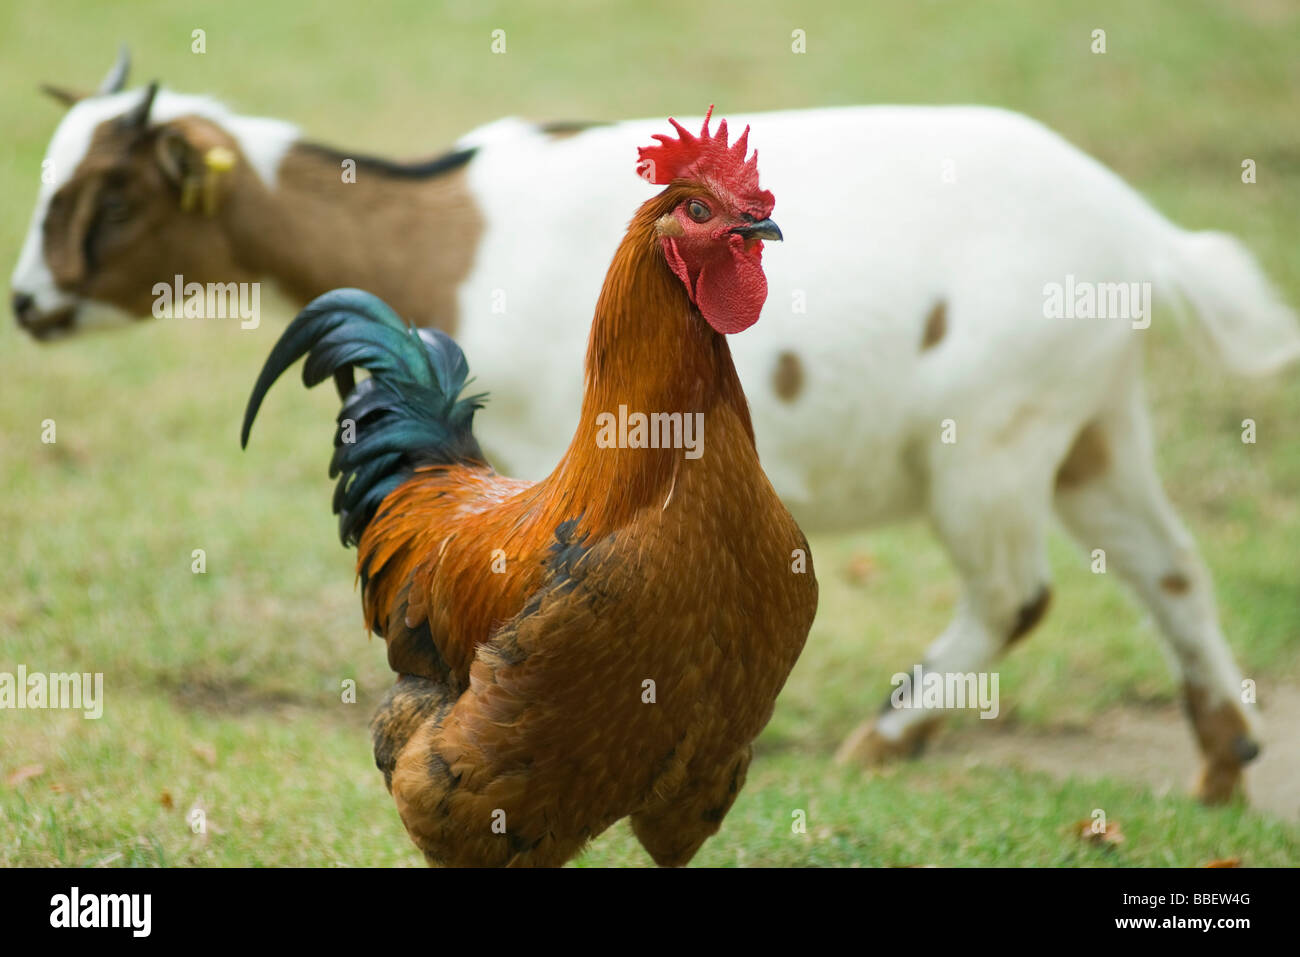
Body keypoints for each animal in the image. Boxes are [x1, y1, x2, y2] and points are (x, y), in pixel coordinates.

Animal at [14, 49, 1300, 804]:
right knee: (1169, 566)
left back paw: (886, 741)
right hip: (1093, 420)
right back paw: (1224, 763)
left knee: (1013, 592)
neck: (443, 228)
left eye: (113, 195)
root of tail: (1140, 230)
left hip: (992, 431)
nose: (25, 304)